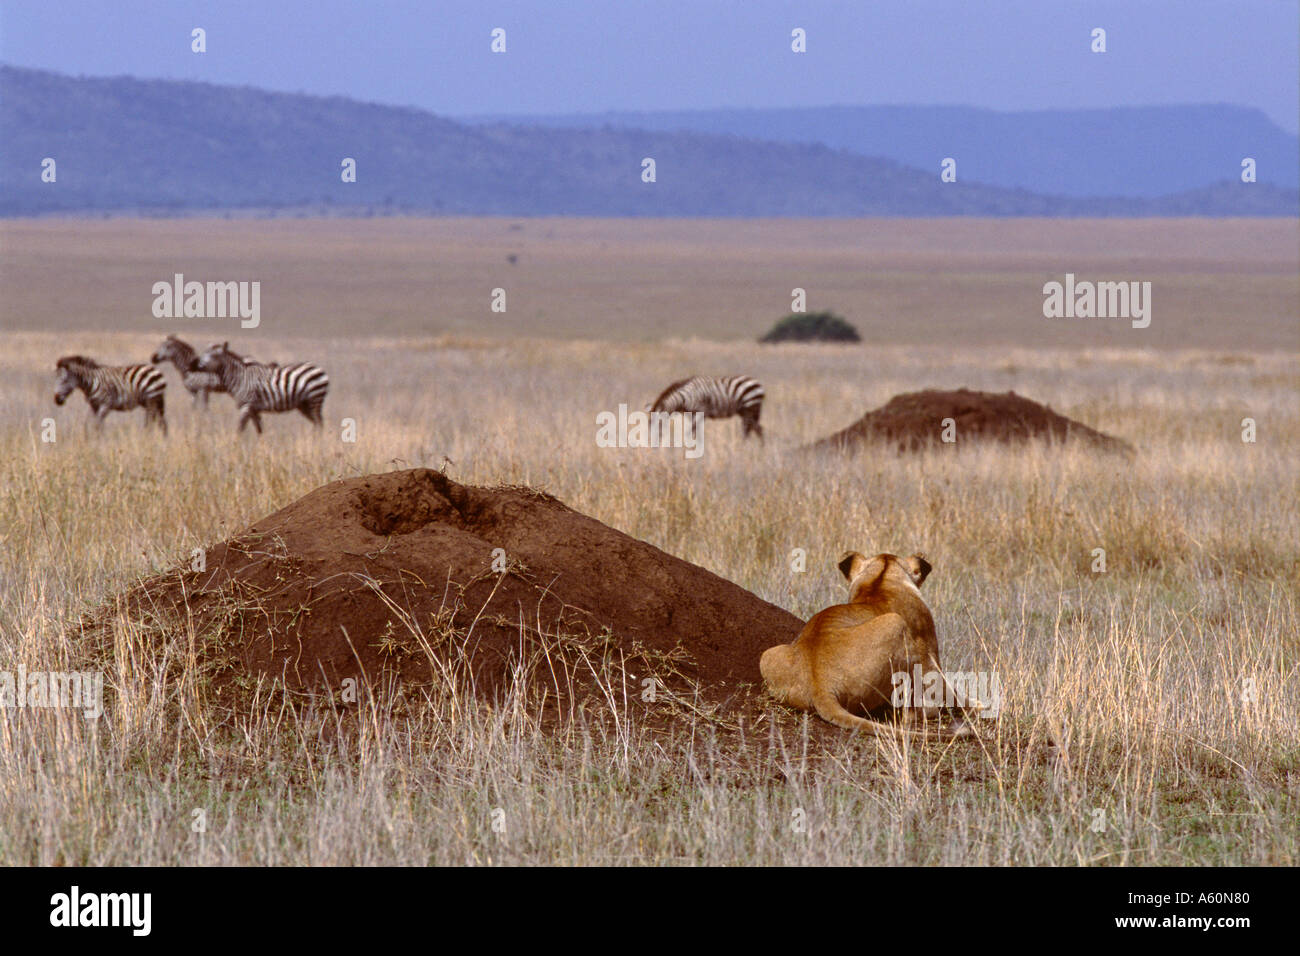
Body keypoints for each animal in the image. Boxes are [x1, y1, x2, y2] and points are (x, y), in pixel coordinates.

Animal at [195, 341, 328, 433]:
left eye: (214, 356)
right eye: (204, 353)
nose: (198, 365)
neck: (240, 377)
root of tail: (319, 368)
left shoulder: (246, 406)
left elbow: (240, 429)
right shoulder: (254, 409)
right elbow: (259, 430)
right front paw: (260, 446)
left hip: (314, 398)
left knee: (319, 423)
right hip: (304, 405)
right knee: (317, 424)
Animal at [760, 551, 983, 740]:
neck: (881, 581)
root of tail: (820, 684)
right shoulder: (930, 659)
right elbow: (951, 691)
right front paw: (980, 705)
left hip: (767, 654)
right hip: (894, 623)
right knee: (912, 714)